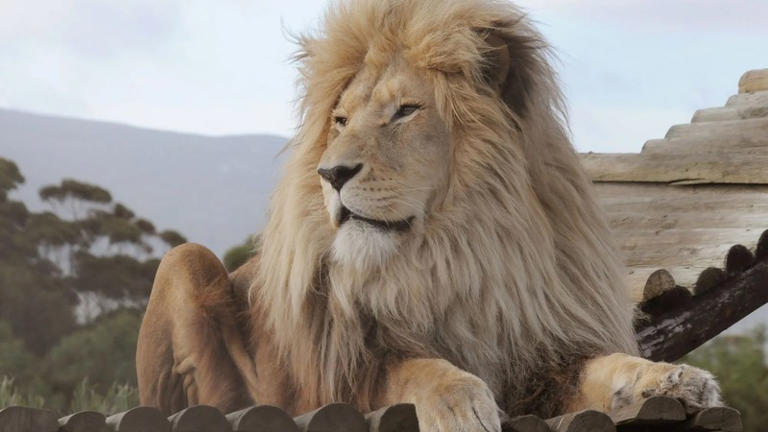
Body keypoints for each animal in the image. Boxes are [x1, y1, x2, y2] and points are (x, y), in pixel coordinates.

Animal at [136, 0, 721, 429]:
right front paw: (463, 403)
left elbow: (611, 366)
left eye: (405, 112)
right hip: (185, 262)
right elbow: (419, 370)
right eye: (341, 120)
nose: (331, 173)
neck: (453, 255)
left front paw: (677, 380)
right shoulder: (346, 376)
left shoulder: (541, 359)